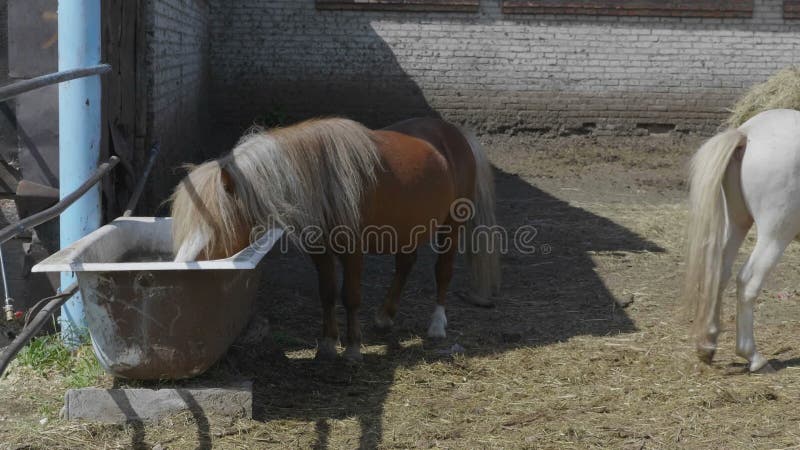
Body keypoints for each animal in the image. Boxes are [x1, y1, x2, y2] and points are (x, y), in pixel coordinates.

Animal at [170, 117, 500, 362]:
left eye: (215, 229)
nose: (181, 267)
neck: (324, 177)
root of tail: (453, 132)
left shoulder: (352, 251)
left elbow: (350, 296)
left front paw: (353, 349)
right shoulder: (320, 251)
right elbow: (327, 293)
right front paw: (328, 344)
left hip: (451, 226)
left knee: (443, 271)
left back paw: (436, 325)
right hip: (407, 228)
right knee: (406, 264)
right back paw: (385, 316)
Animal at [685, 108, 800, 373]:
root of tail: (746, 133)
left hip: (737, 223)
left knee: (719, 273)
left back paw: (707, 344)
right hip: (775, 233)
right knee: (748, 280)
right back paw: (753, 357)